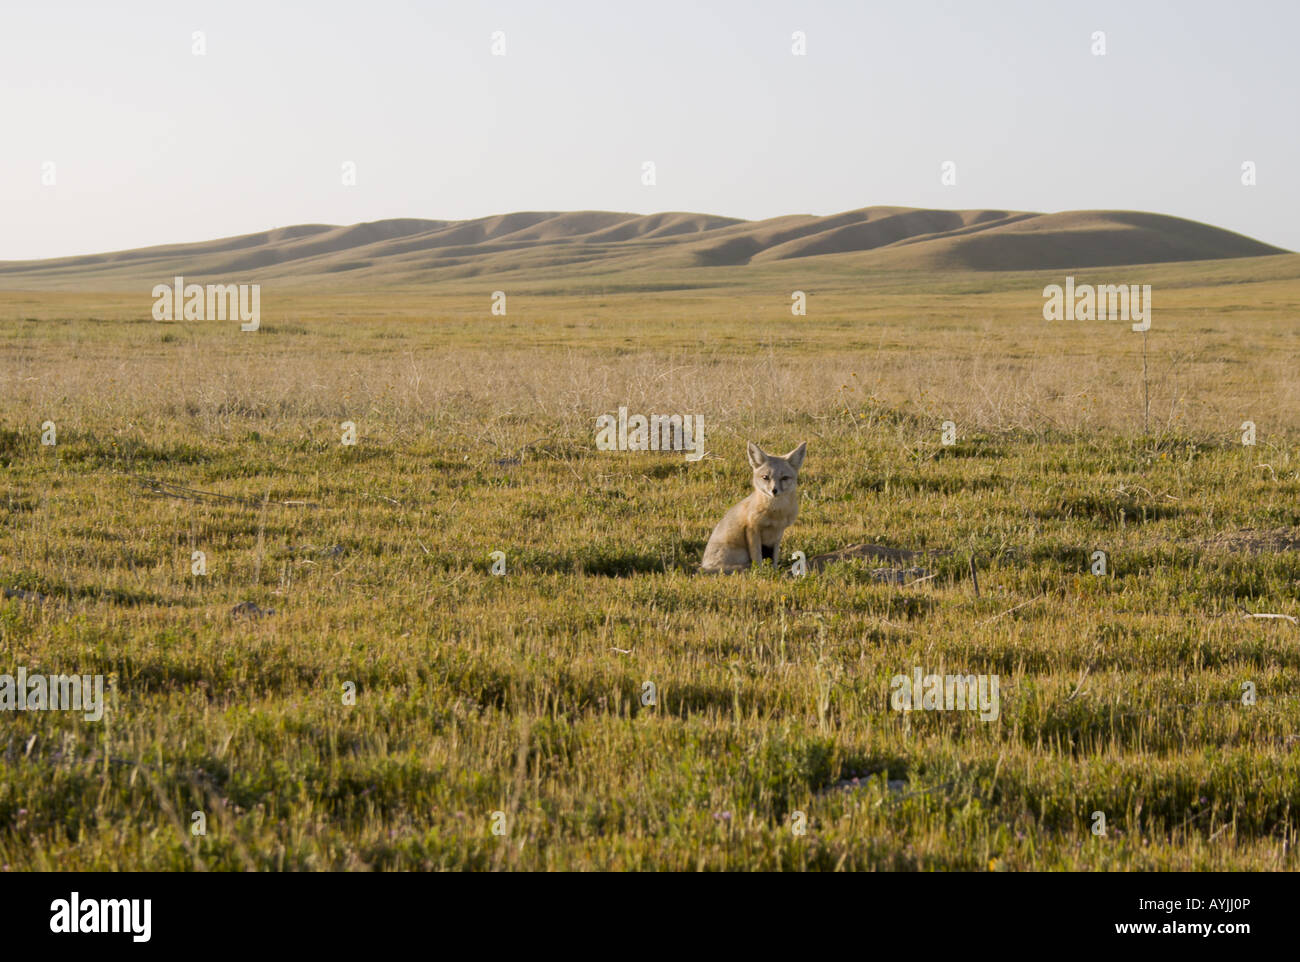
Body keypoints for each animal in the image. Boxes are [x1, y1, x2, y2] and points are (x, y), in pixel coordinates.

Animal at [700, 441, 807, 573]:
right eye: (765, 477)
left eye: (784, 478)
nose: (774, 491)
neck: (776, 513)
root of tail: (703, 565)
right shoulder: (752, 530)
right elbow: (757, 558)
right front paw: (760, 573)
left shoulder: (778, 534)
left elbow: (774, 559)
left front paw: (774, 573)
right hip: (740, 552)